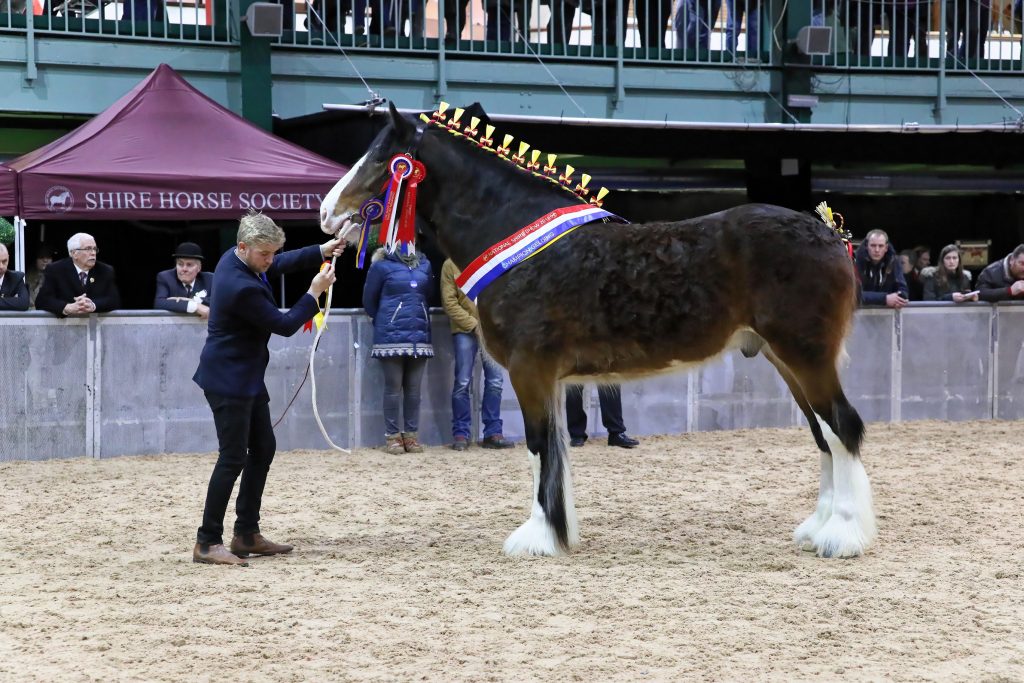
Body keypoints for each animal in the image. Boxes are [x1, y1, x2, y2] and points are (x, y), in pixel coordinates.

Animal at [320, 103, 876, 559]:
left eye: (381, 160)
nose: (326, 212)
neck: (519, 239)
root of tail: (828, 232)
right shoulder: (547, 378)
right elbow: (554, 449)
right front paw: (558, 532)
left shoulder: (529, 371)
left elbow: (539, 447)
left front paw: (537, 537)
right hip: (787, 360)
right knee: (823, 435)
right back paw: (818, 529)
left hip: (805, 355)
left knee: (842, 427)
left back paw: (843, 536)